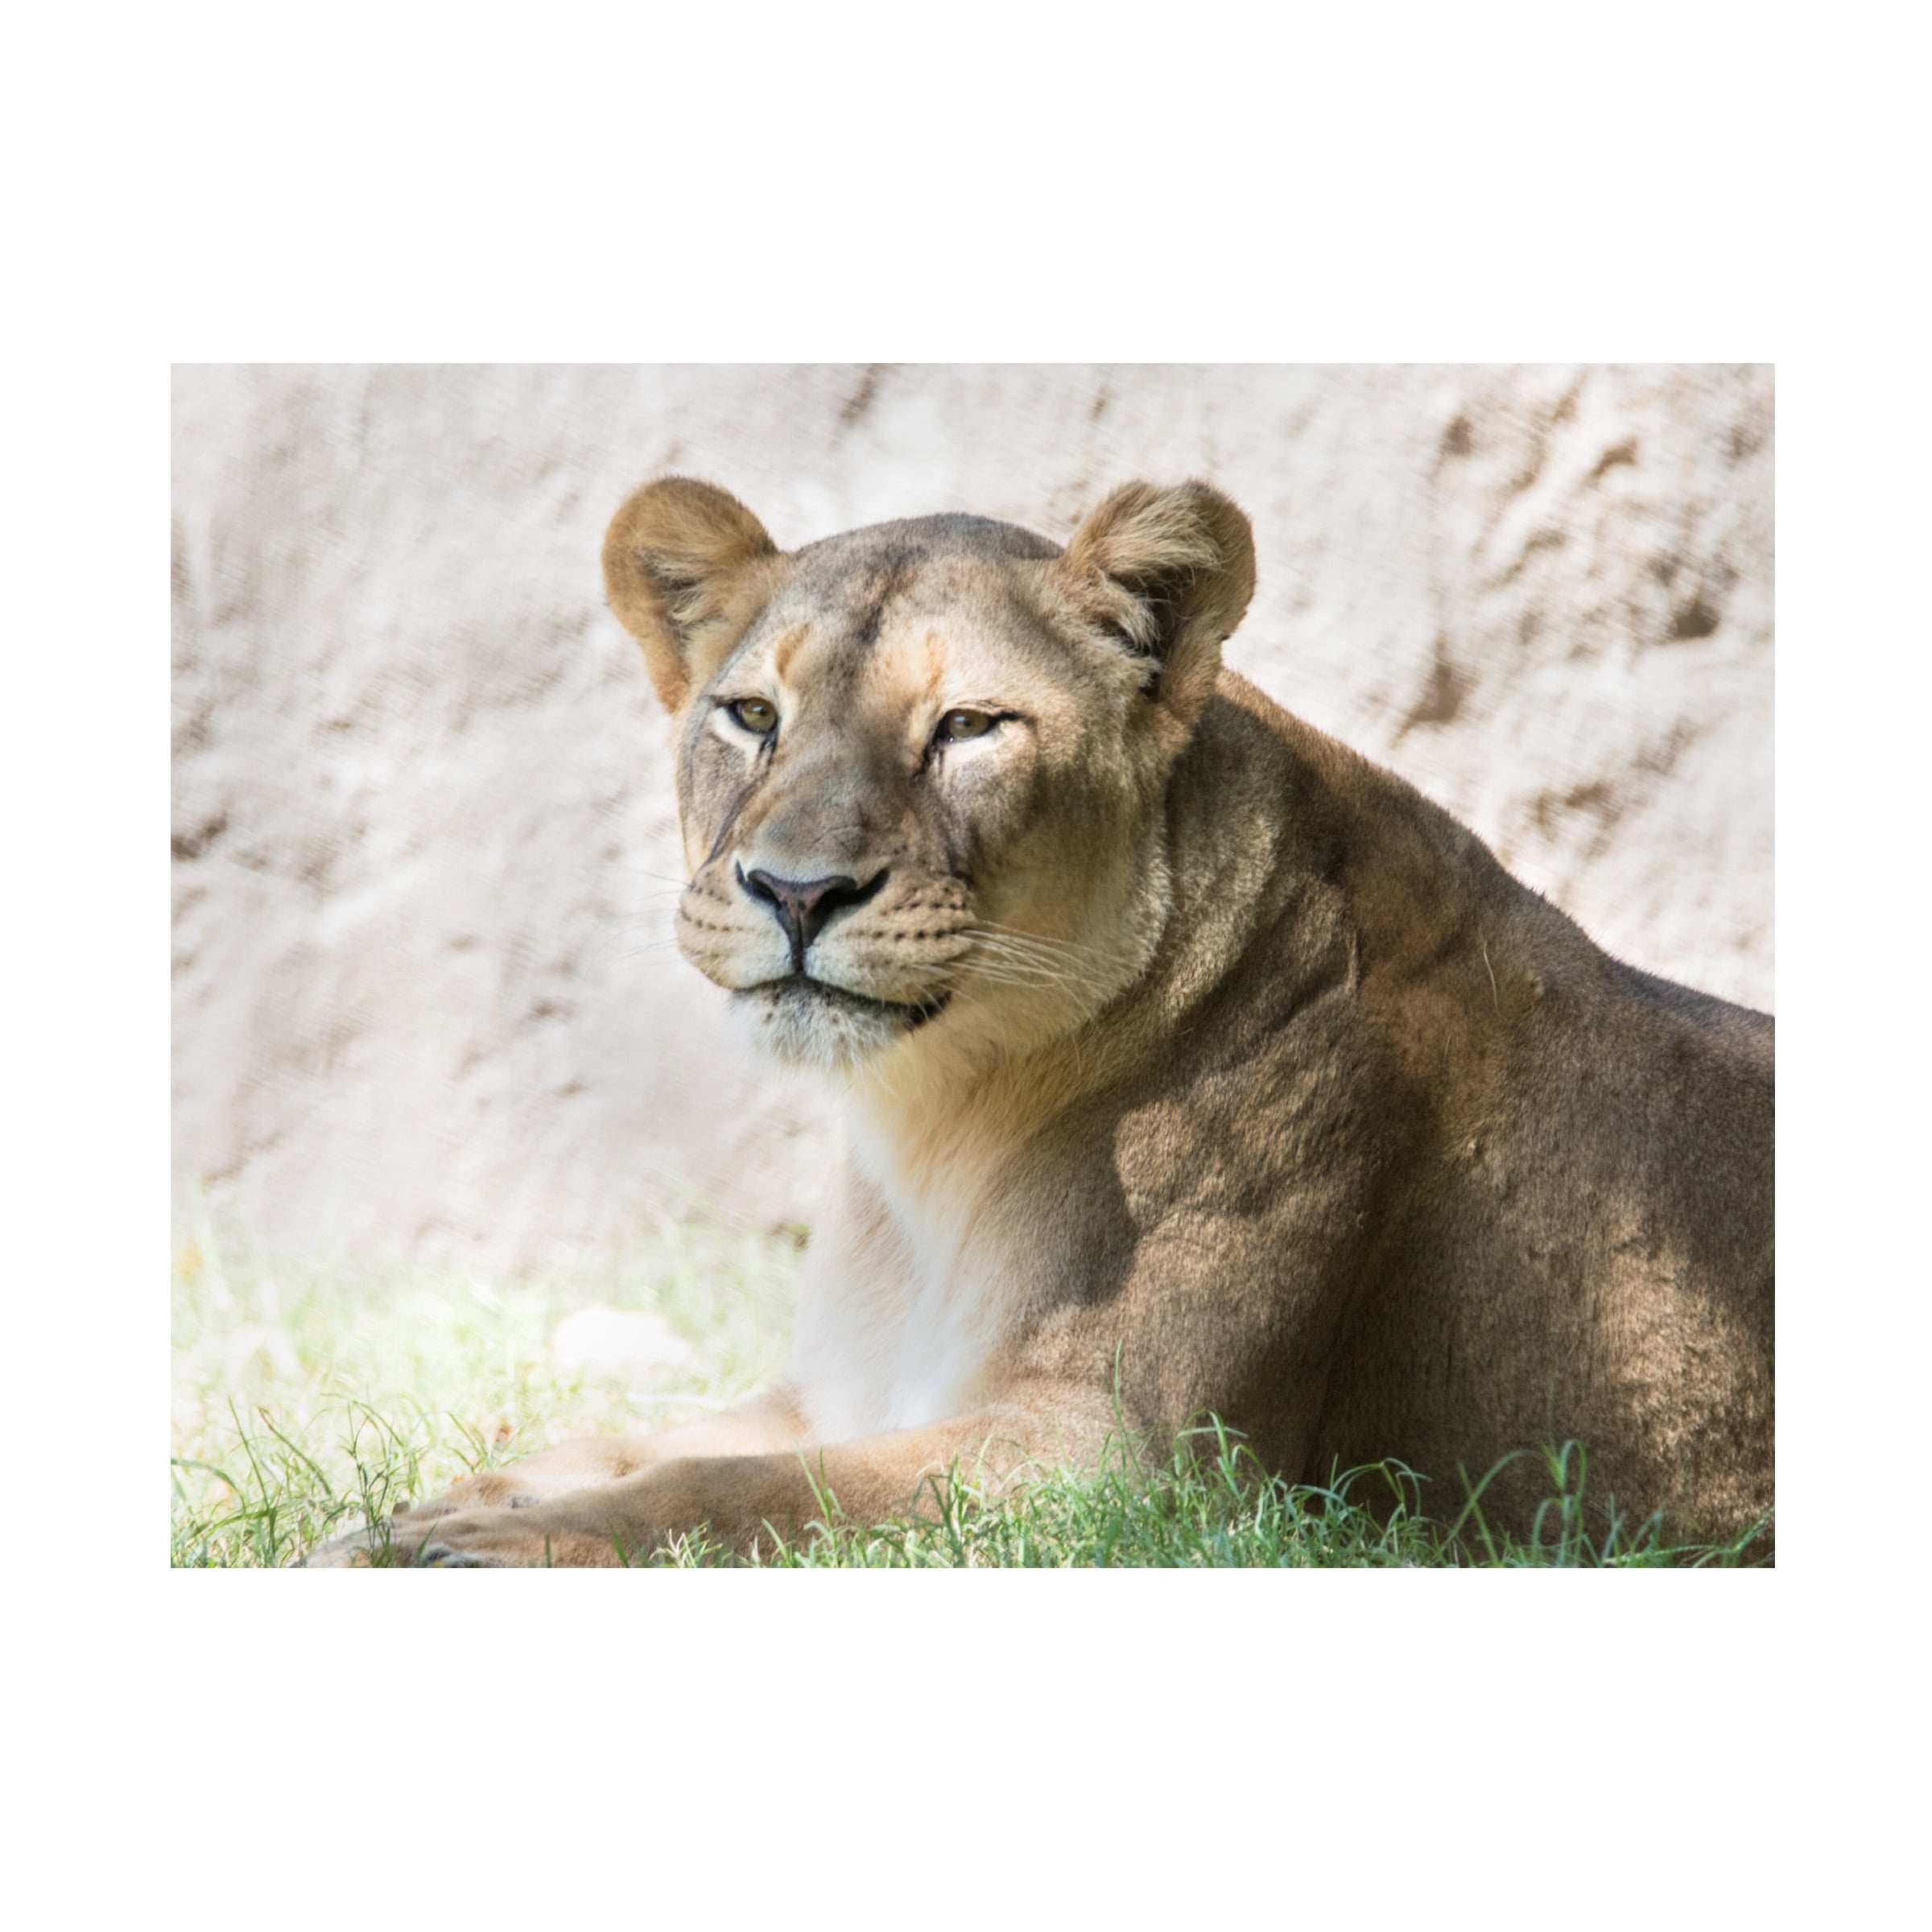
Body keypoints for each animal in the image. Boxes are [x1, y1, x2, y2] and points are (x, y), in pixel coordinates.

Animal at [307, 476, 1774, 1566]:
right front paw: (415, 1510)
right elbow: (625, 1436)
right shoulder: (834, 1391)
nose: (796, 891)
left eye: (967, 727)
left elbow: (749, 1491)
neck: (928, 1134)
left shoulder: (1129, 1464)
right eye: (751, 714)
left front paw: (460, 1548)